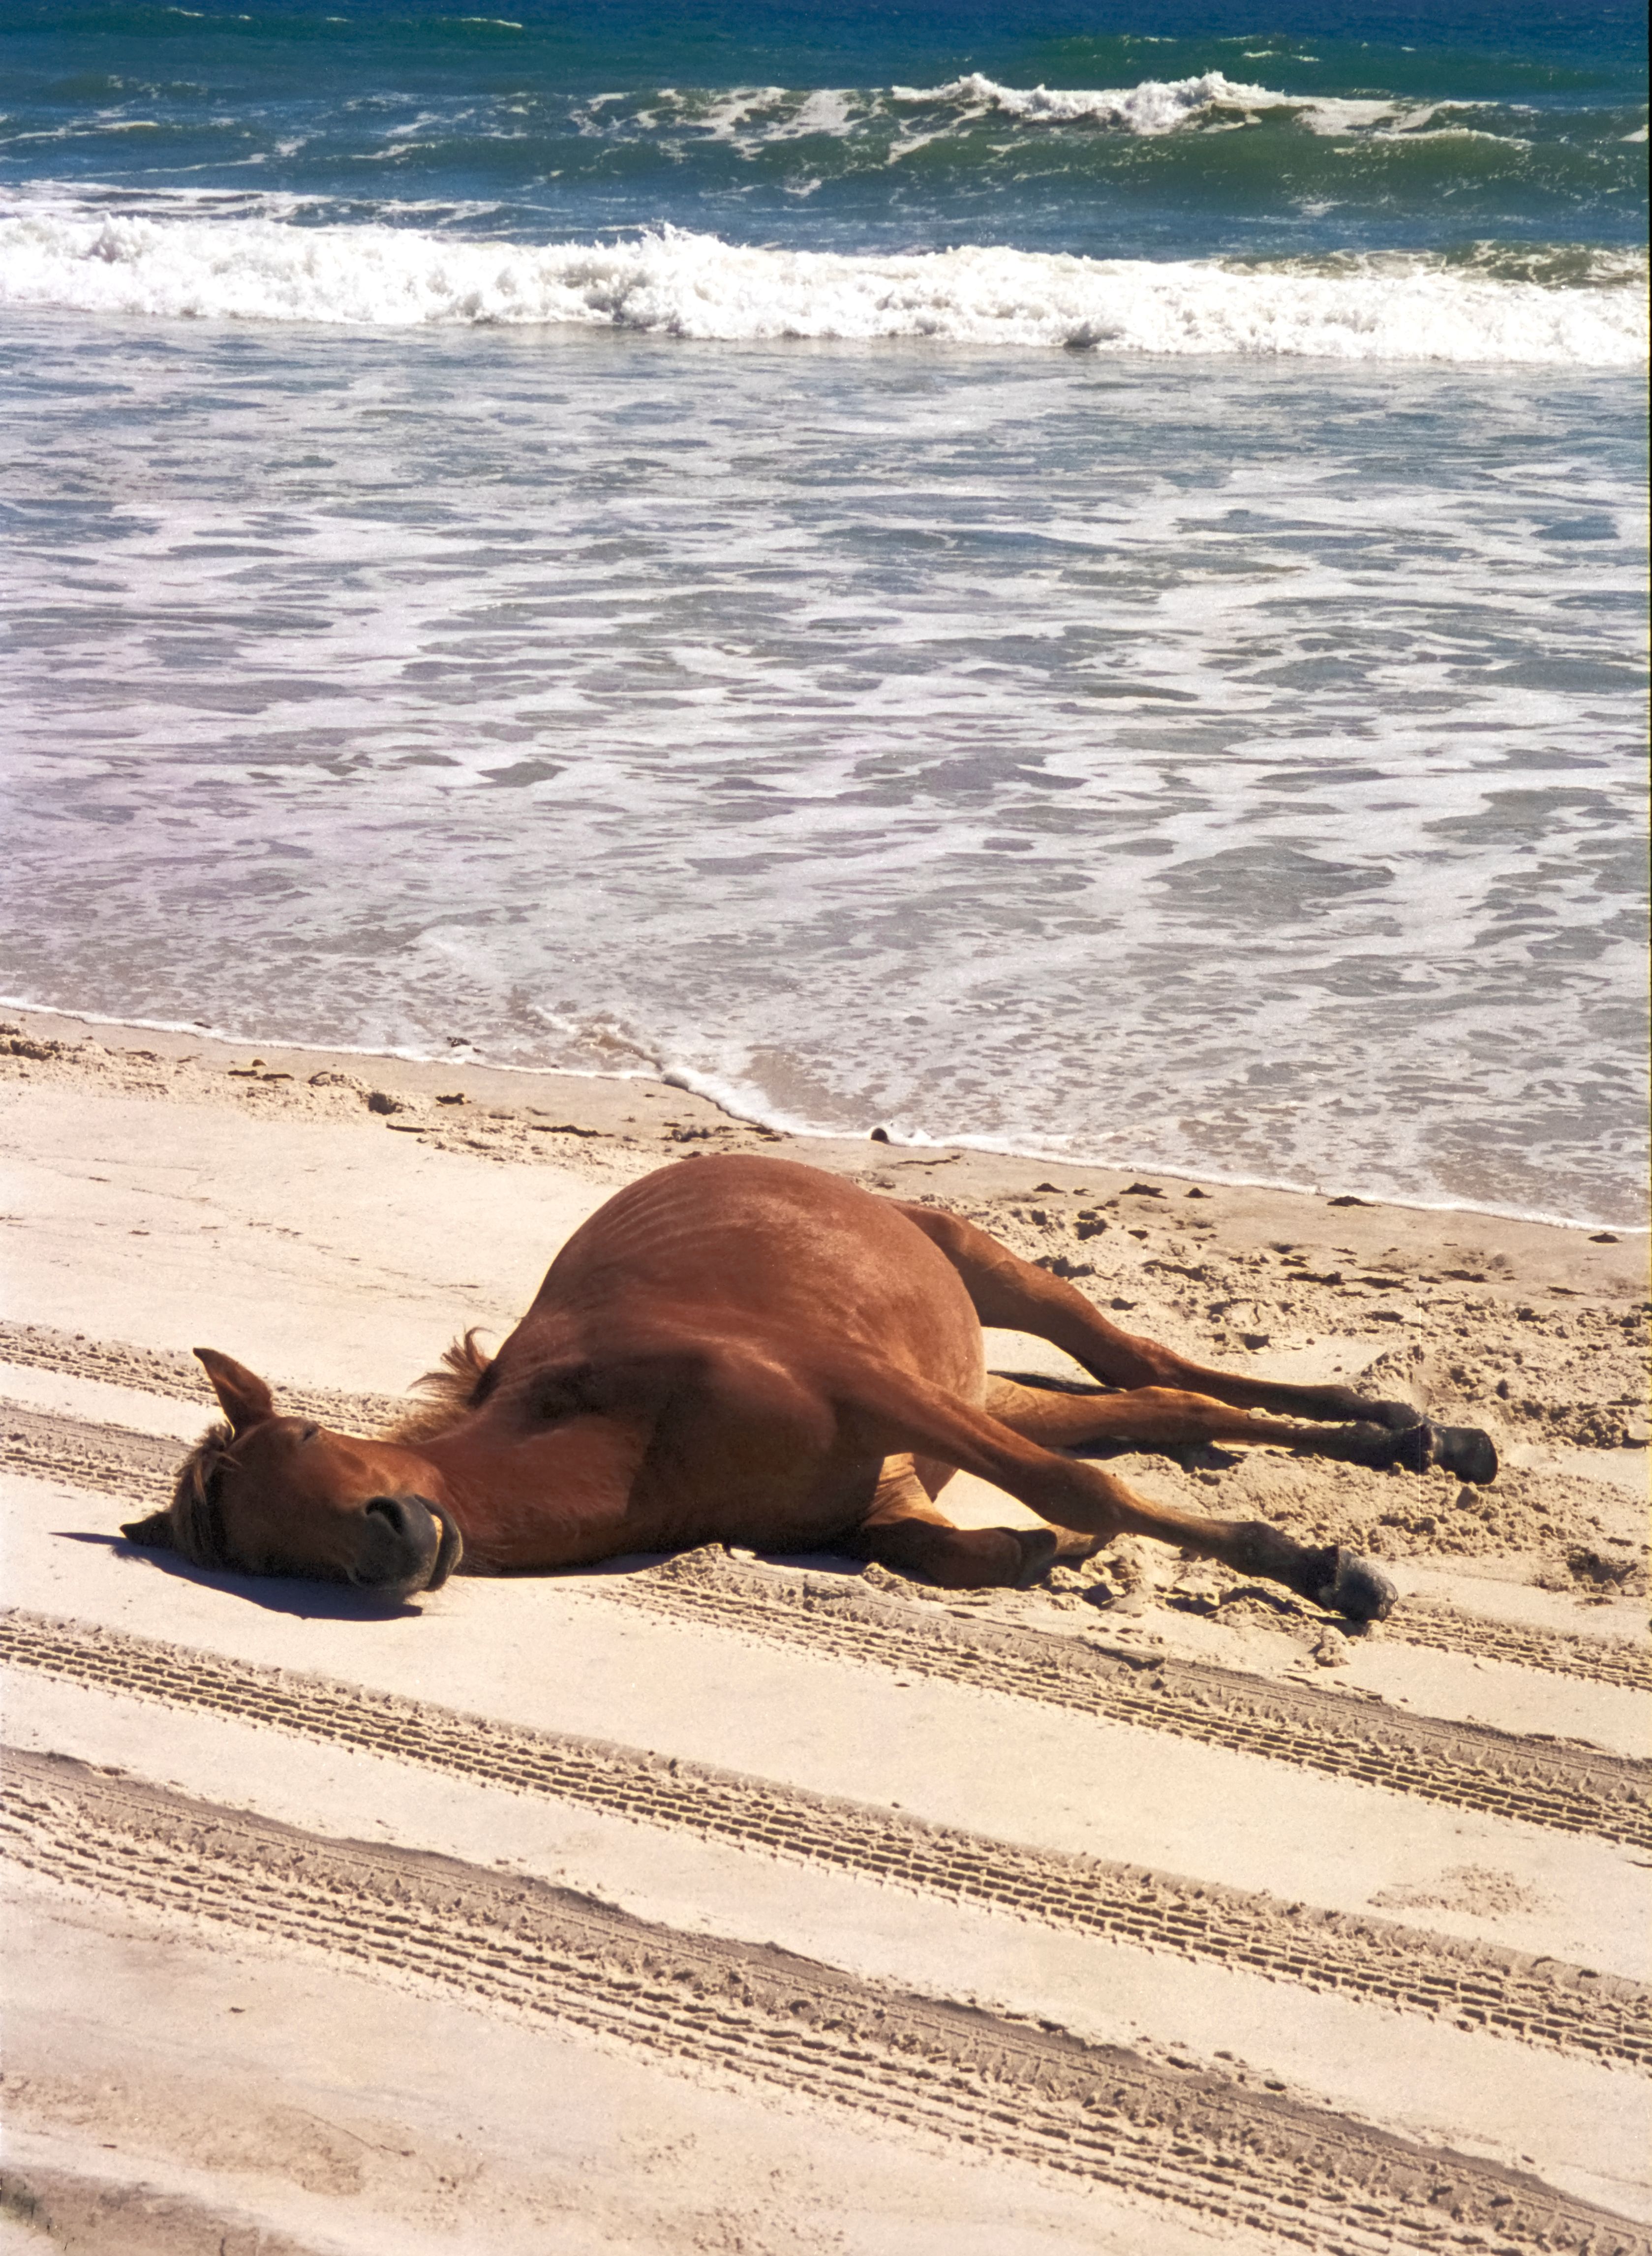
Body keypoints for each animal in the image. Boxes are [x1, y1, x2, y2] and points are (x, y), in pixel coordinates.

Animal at [123, 1154, 1497, 1621]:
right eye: (264, 1554)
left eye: (309, 1431)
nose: (398, 1539)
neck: (631, 1430)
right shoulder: (886, 1481)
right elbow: (970, 1541)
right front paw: (1036, 1557)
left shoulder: (881, 1397)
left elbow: (1084, 1493)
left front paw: (1321, 1570)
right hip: (984, 1383)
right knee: (1162, 1407)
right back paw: (1406, 1437)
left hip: (982, 1273)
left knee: (1145, 1369)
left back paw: (1416, 1434)